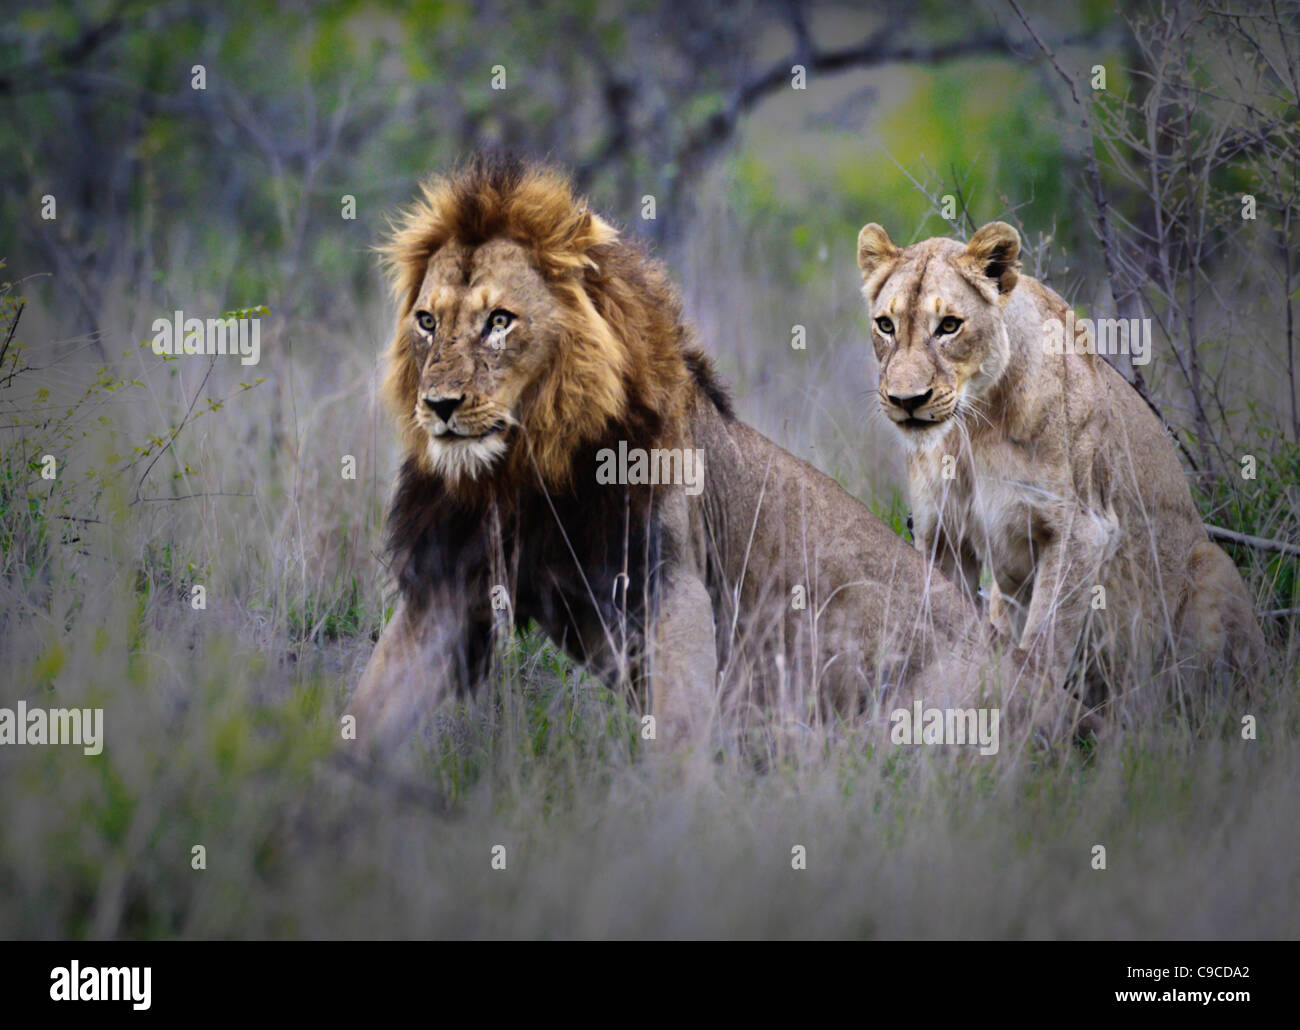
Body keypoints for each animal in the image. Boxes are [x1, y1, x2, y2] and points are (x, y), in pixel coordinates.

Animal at [349, 157, 1057, 756]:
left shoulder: (672, 578)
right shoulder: (444, 584)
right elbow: (372, 706)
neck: (524, 466)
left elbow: (681, 733)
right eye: (427, 322)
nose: (440, 405)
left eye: (499, 320)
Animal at [855, 220, 1266, 702]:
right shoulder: (942, 536)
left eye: (950, 326)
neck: (971, 430)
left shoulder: (1081, 527)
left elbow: (1045, 640)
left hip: (1212, 564)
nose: (907, 401)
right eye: (885, 325)